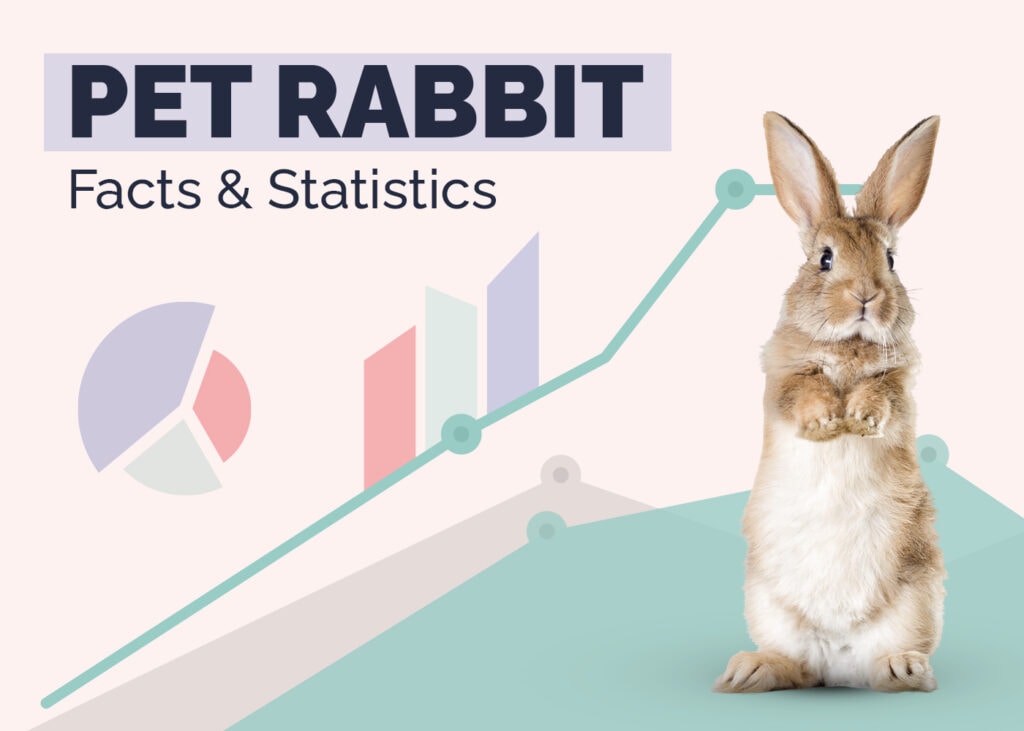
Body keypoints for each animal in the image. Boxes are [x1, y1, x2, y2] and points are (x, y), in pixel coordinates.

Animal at [713, 113, 945, 693]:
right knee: (795, 666)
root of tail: (838, 660)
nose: (866, 294)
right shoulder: (782, 380)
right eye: (824, 259)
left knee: (886, 662)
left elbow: (881, 396)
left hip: (917, 596)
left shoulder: (899, 382)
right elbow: (805, 393)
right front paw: (826, 423)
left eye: (890, 259)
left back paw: (903, 669)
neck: (849, 344)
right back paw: (749, 671)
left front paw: (858, 419)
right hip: (769, 608)